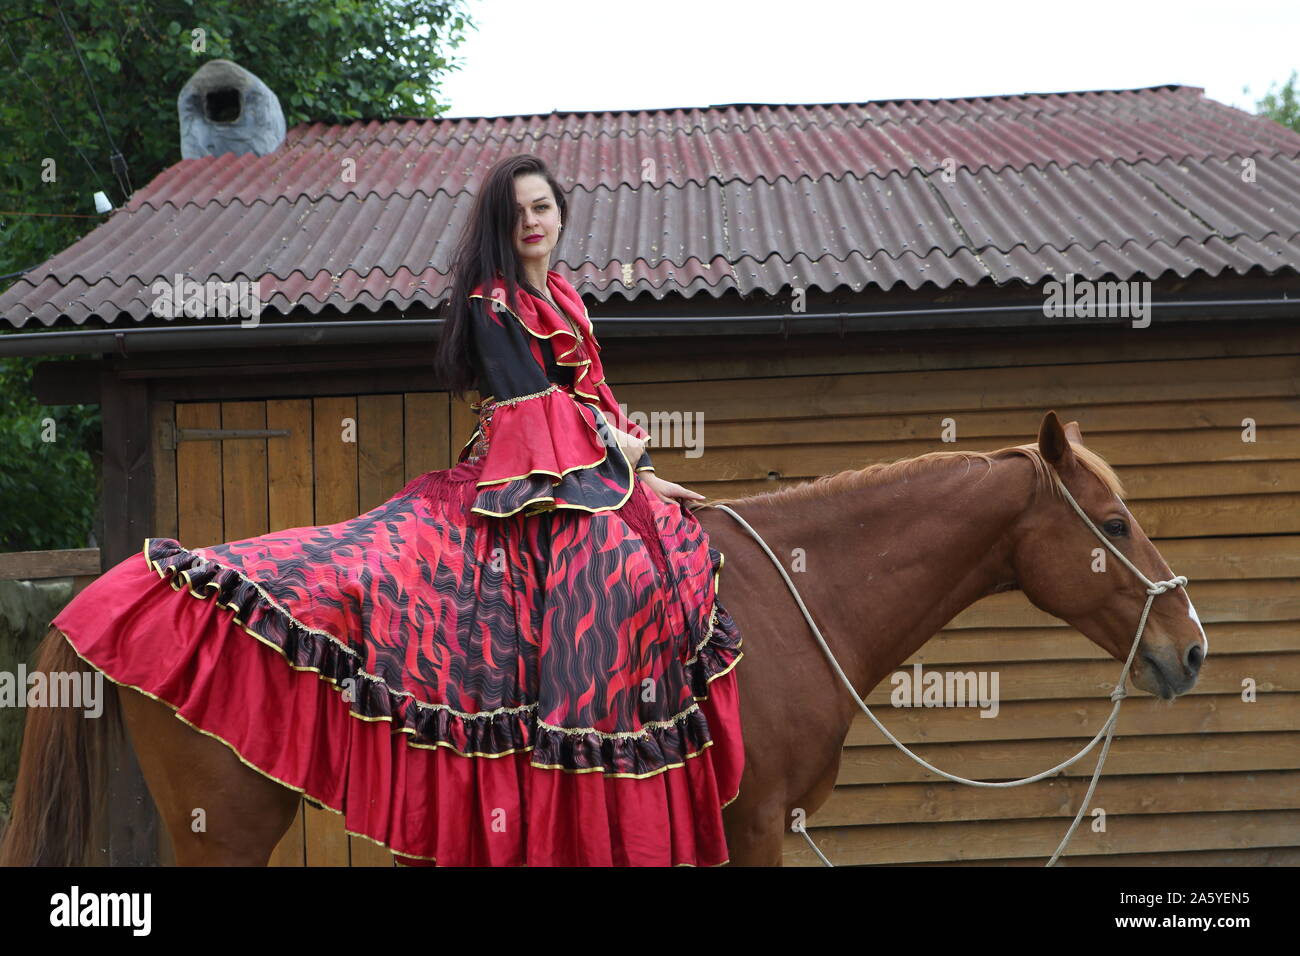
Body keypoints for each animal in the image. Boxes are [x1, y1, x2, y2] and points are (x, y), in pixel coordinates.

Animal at [0, 410, 1207, 866]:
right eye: (1111, 524)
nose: (1189, 644)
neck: (794, 602)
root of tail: (134, 573)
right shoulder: (749, 819)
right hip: (228, 825)